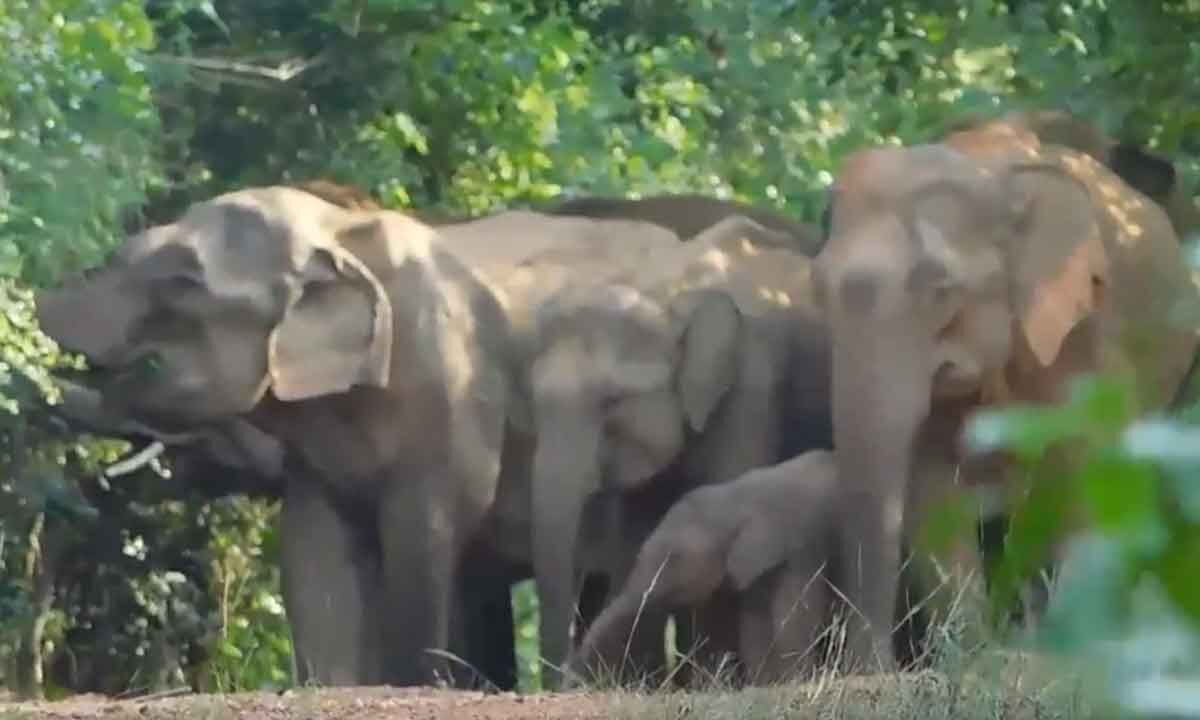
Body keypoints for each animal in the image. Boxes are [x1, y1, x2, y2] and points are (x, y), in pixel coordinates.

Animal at [811, 112, 1200, 673]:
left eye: (941, 289)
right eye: (816, 286)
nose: (871, 667)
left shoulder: (1085, 328)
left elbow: (1091, 471)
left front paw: (1072, 652)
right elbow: (932, 489)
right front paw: (976, 657)